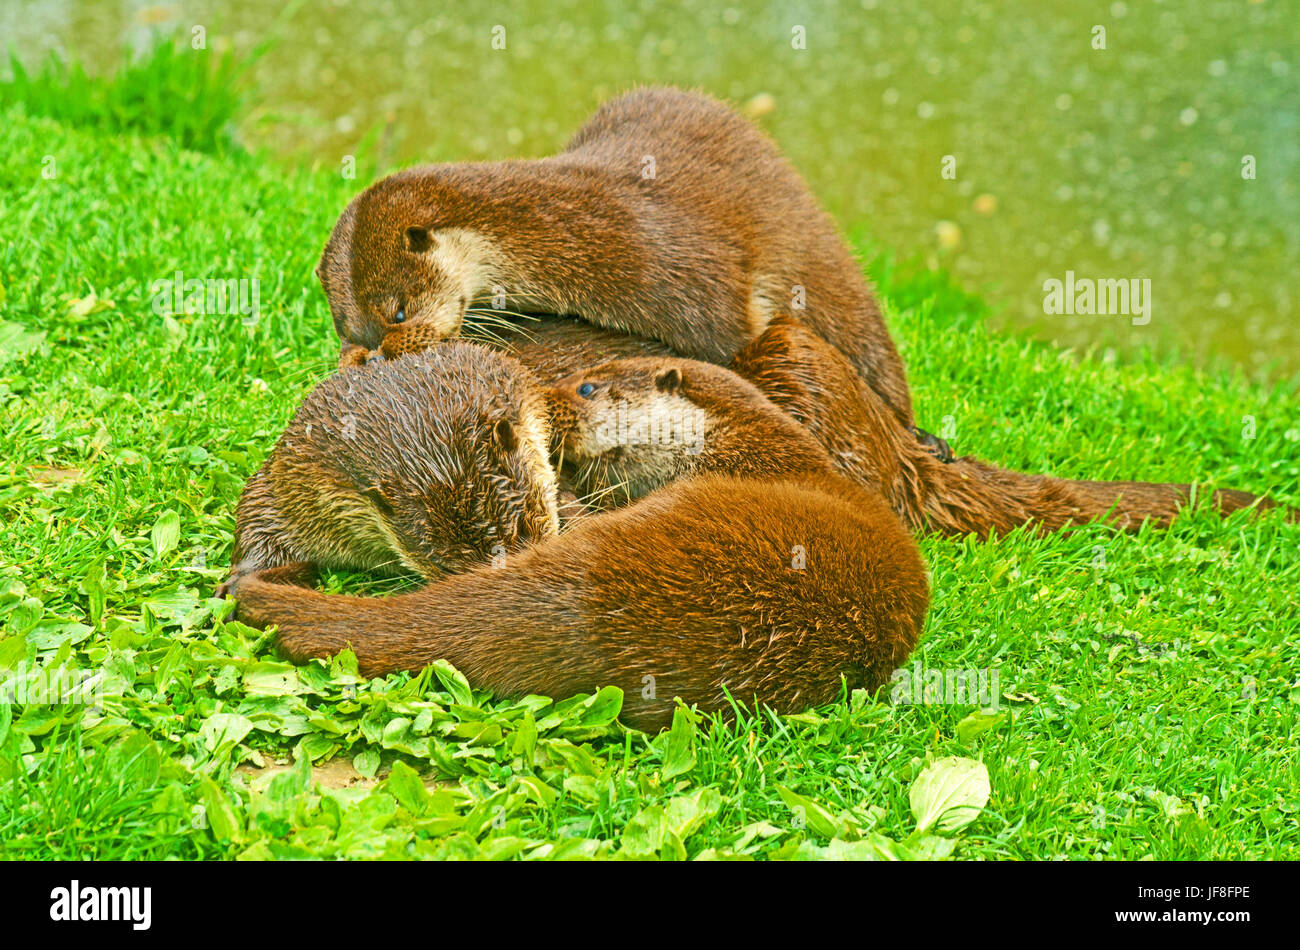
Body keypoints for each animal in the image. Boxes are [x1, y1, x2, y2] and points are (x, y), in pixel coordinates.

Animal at [318, 85, 933, 445]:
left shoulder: (692, 283)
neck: (581, 232)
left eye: (397, 312)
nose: (376, 354)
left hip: (826, 273)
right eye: (350, 333)